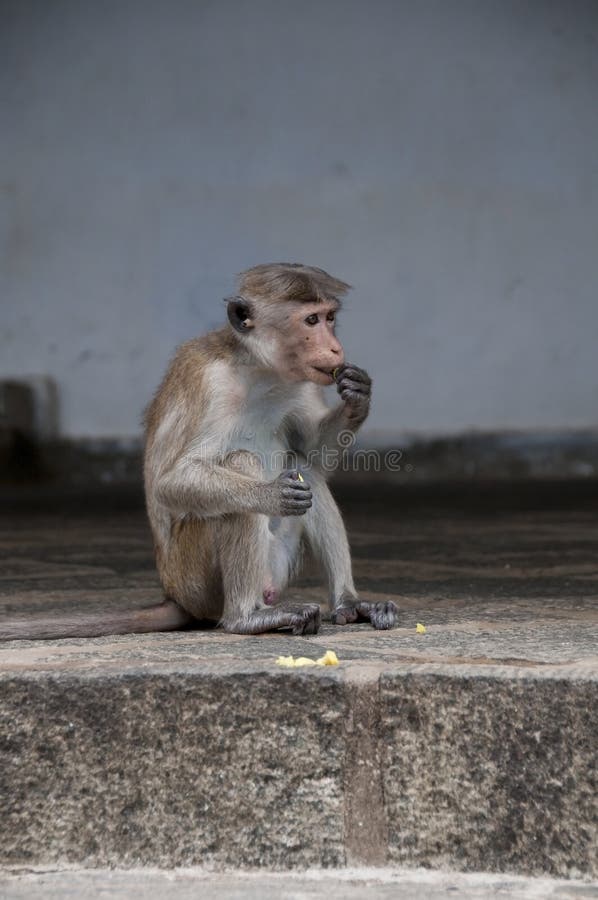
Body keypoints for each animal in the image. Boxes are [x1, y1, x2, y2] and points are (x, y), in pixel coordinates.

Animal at [0, 263, 398, 640]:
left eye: (330, 318)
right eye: (311, 320)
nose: (335, 348)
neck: (257, 369)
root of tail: (174, 594)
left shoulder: (302, 382)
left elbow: (314, 454)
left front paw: (358, 396)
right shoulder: (211, 383)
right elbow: (171, 481)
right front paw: (269, 494)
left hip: (274, 563)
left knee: (306, 469)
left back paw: (347, 603)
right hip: (196, 580)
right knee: (242, 466)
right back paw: (245, 618)